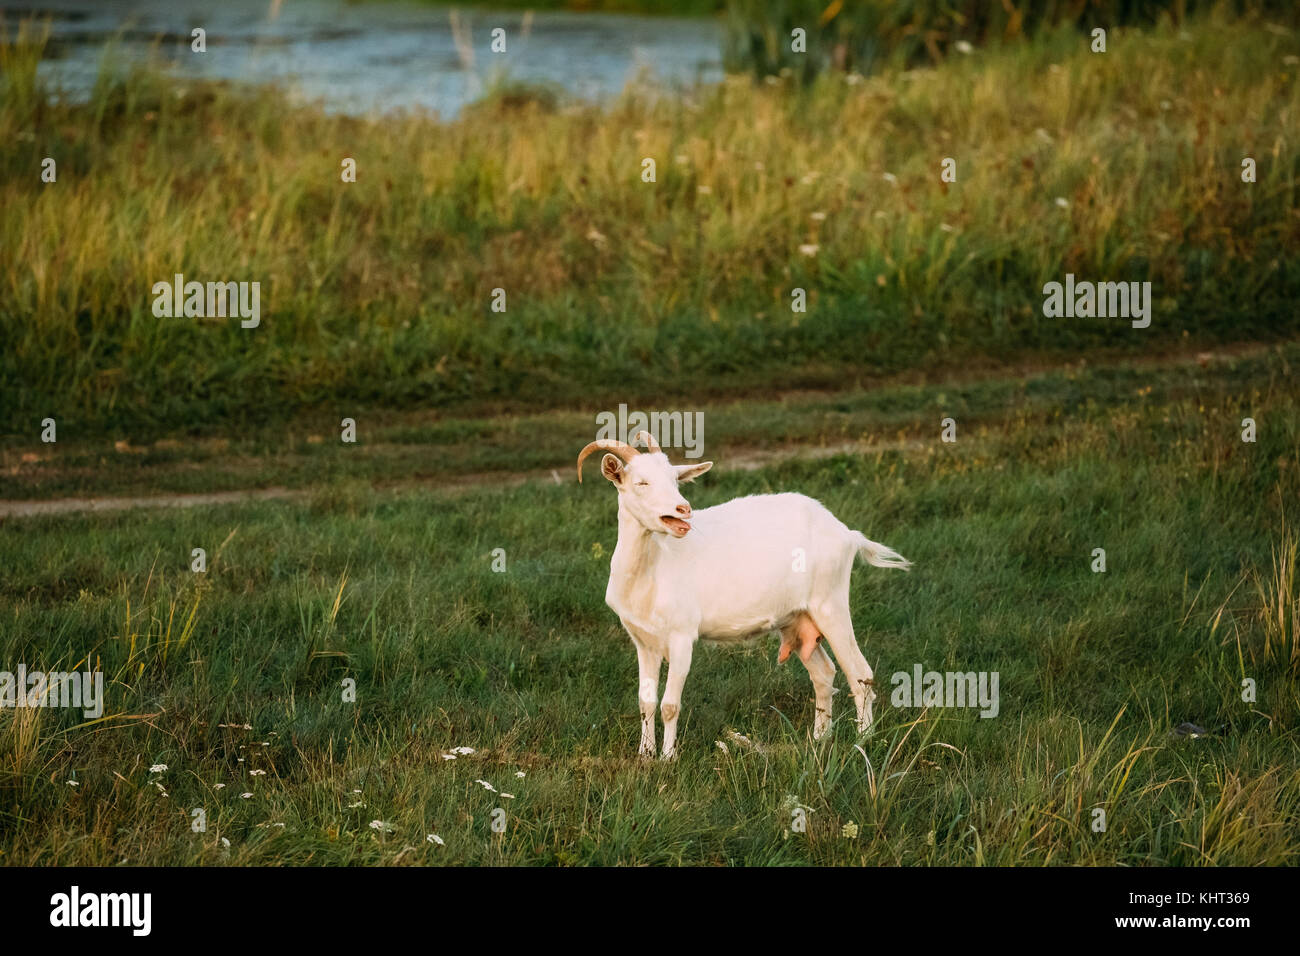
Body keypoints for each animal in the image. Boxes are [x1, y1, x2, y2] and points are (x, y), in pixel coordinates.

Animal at [577, 430, 911, 759]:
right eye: (641, 482)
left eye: (675, 480)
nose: (683, 509)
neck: (652, 569)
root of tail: (847, 535)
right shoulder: (643, 641)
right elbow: (645, 702)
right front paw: (645, 756)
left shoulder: (682, 635)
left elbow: (670, 706)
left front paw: (668, 758)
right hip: (797, 619)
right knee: (824, 673)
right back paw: (819, 740)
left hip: (831, 604)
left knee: (860, 674)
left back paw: (863, 742)